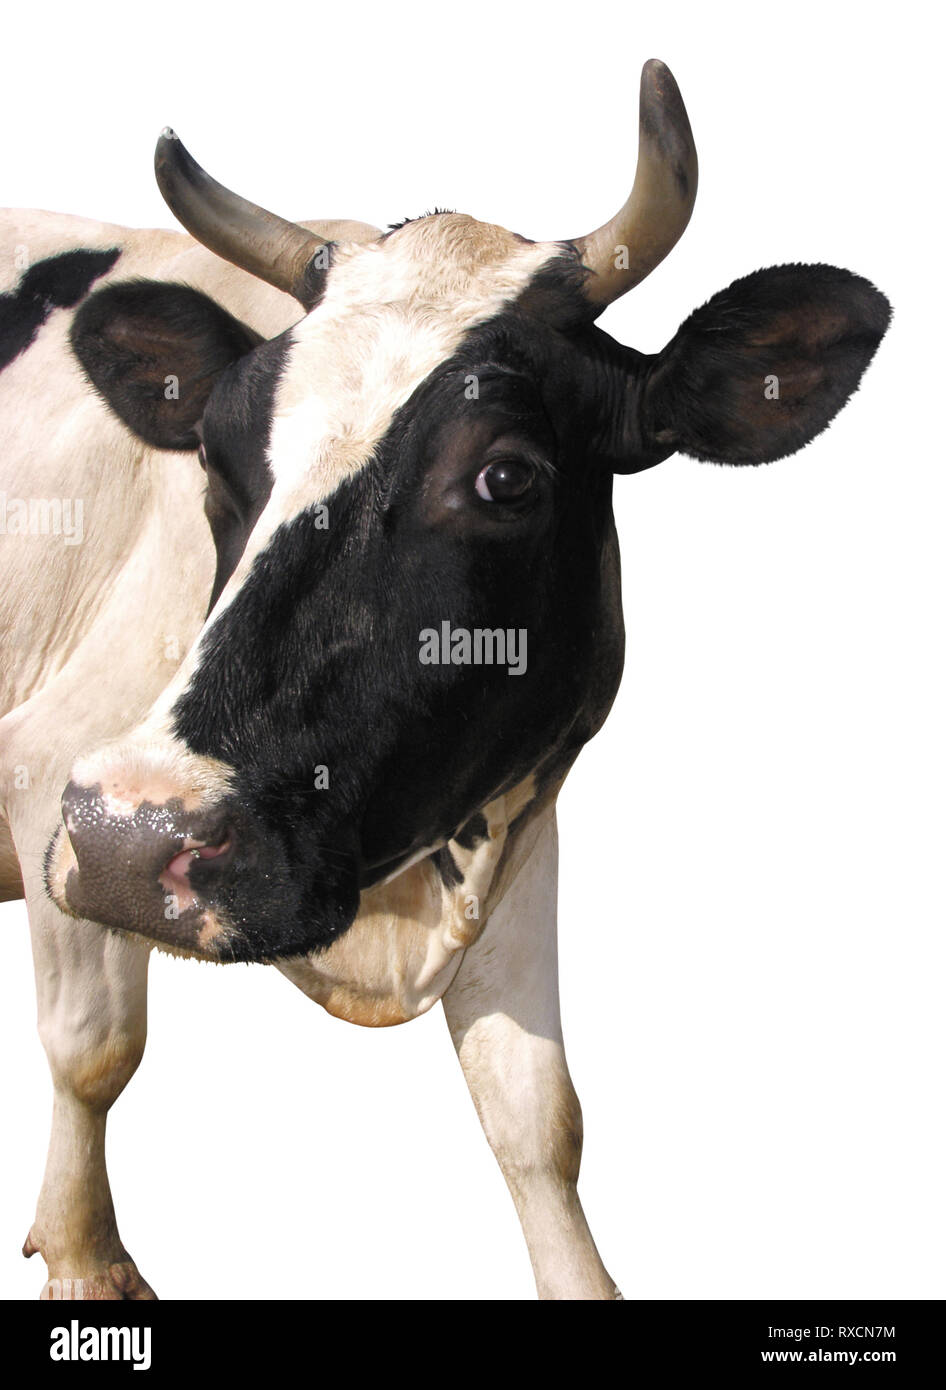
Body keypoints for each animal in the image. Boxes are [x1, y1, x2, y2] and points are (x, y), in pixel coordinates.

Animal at [0, 59, 889, 1300]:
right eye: (216, 456)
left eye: (506, 476)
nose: (143, 837)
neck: (389, 912)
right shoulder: (57, 778)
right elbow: (93, 1049)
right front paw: (83, 1254)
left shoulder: (515, 812)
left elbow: (536, 1115)